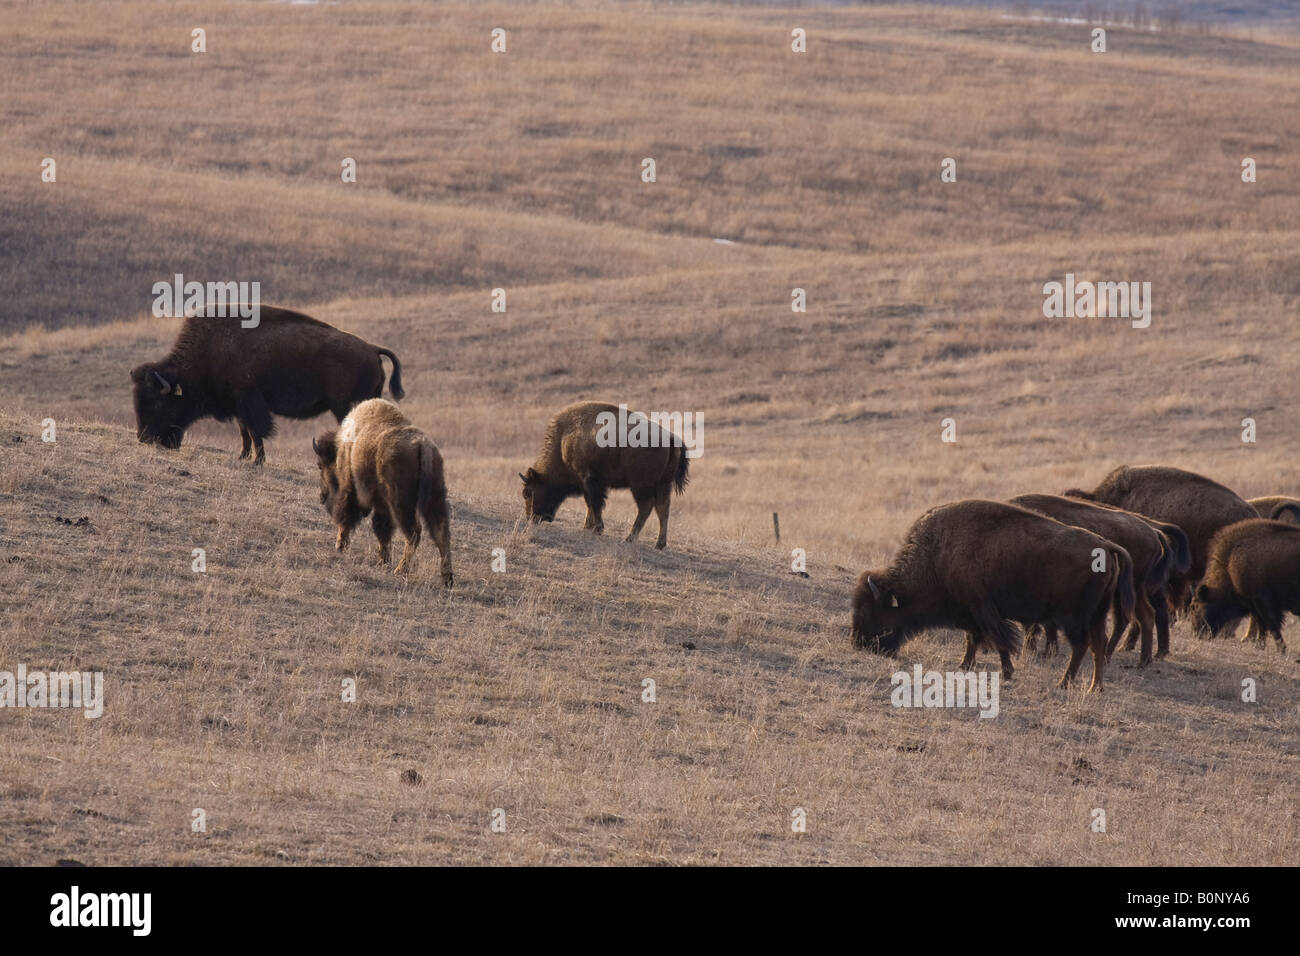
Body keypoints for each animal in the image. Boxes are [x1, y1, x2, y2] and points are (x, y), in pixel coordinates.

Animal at [132, 304, 404, 464]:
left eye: (158, 402)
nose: (144, 438)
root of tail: (371, 348)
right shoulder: (238, 405)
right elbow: (244, 431)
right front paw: (243, 456)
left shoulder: (249, 400)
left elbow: (256, 431)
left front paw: (257, 461)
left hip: (344, 406)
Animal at [313, 399, 452, 587]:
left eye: (321, 465)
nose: (322, 497)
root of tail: (423, 446)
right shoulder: (382, 506)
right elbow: (382, 530)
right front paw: (382, 561)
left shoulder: (351, 490)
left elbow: (347, 518)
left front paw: (340, 546)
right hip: (435, 497)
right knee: (441, 533)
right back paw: (447, 579)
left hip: (401, 503)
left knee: (414, 532)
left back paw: (400, 570)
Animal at [519, 400, 690, 549]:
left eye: (528, 492)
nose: (531, 518)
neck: (563, 442)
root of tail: (671, 438)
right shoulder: (590, 483)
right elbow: (590, 504)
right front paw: (587, 527)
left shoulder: (588, 479)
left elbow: (595, 503)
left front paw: (597, 529)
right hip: (663, 485)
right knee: (662, 508)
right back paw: (659, 544)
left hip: (640, 486)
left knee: (646, 507)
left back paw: (629, 539)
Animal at [851, 500, 1135, 692]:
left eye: (870, 610)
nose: (859, 643)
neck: (938, 554)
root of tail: (1106, 545)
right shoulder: (971, 612)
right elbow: (973, 639)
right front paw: (965, 665)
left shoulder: (983, 609)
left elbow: (998, 640)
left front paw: (1007, 673)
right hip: (1097, 614)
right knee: (1098, 645)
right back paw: (1094, 687)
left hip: (1074, 617)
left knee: (1081, 645)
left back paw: (1064, 683)